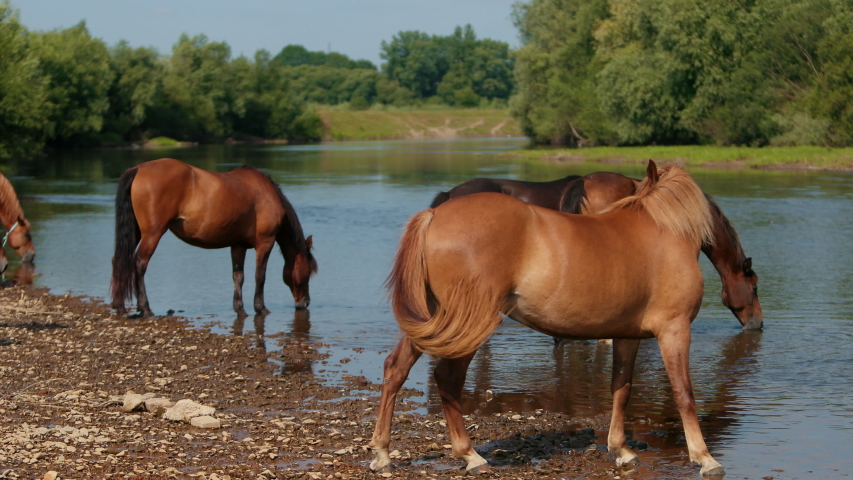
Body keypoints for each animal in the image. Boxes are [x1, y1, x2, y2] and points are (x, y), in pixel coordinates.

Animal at [110, 158, 317, 318]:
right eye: (308, 271)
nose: (305, 302)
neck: (266, 194)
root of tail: (139, 169)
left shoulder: (238, 245)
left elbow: (238, 277)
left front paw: (240, 309)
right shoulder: (265, 243)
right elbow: (260, 276)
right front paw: (261, 308)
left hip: (137, 232)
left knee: (119, 261)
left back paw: (120, 307)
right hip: (153, 234)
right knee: (139, 263)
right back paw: (145, 309)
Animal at [370, 161, 725, 476]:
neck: (666, 230)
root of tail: (434, 215)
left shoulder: (628, 336)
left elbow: (621, 388)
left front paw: (621, 449)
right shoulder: (674, 328)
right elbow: (683, 393)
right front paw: (704, 457)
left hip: (435, 322)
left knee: (396, 368)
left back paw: (383, 452)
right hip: (467, 325)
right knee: (447, 378)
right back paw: (470, 455)